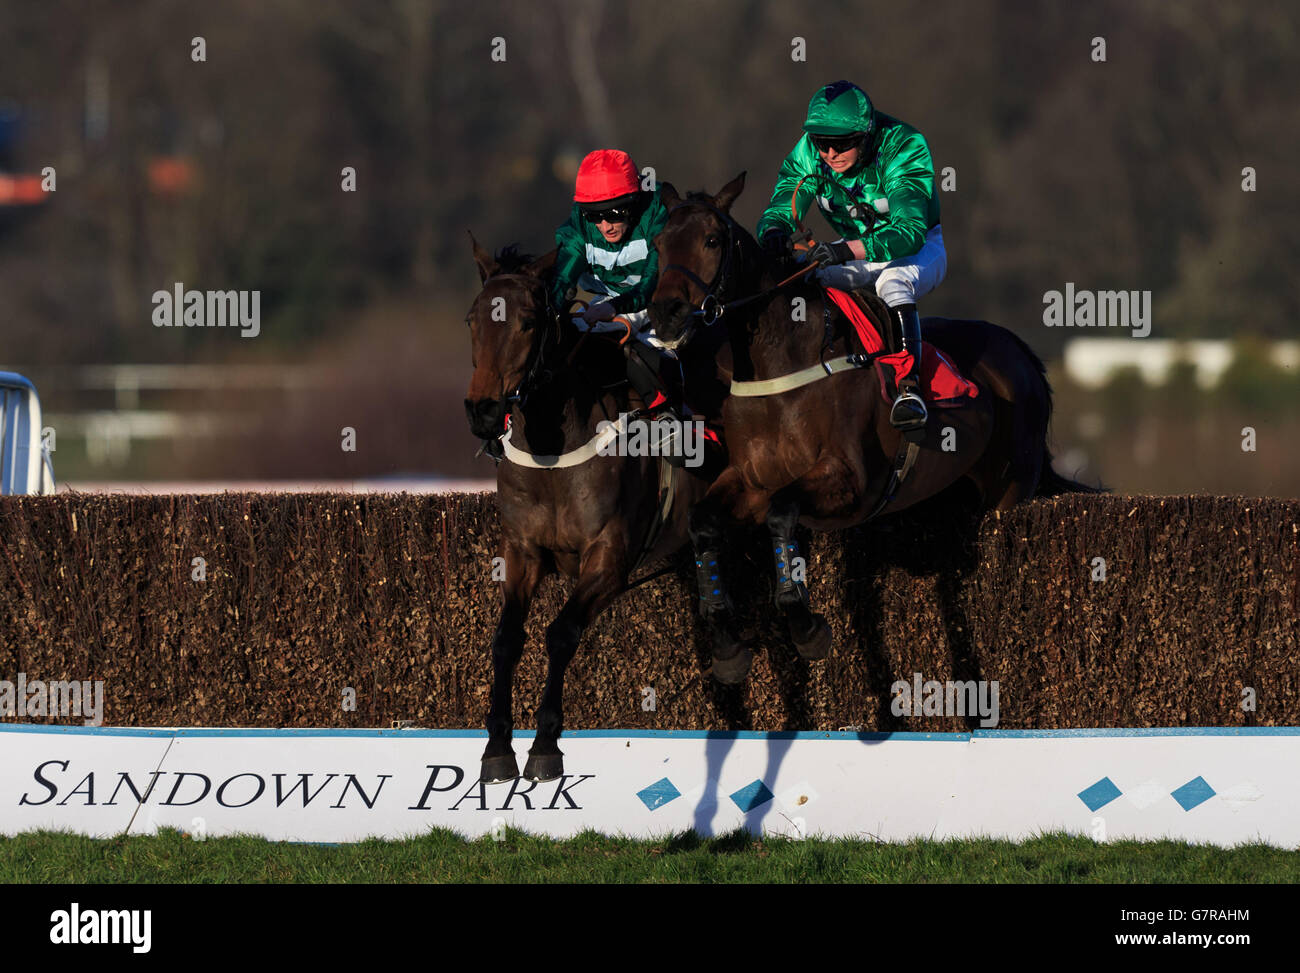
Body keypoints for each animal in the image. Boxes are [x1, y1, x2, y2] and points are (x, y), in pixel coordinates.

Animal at [463, 234, 731, 782]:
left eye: (528, 322)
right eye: (472, 320)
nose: (483, 411)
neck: (552, 452)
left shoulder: (609, 556)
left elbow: (562, 632)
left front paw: (545, 743)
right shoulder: (522, 551)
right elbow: (506, 638)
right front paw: (496, 747)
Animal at [648, 172, 1099, 681]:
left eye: (710, 239)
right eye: (660, 243)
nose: (666, 313)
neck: (783, 361)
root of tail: (1020, 352)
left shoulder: (850, 480)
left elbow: (783, 514)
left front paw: (804, 625)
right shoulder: (750, 479)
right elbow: (703, 522)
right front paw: (726, 644)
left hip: (1010, 490)